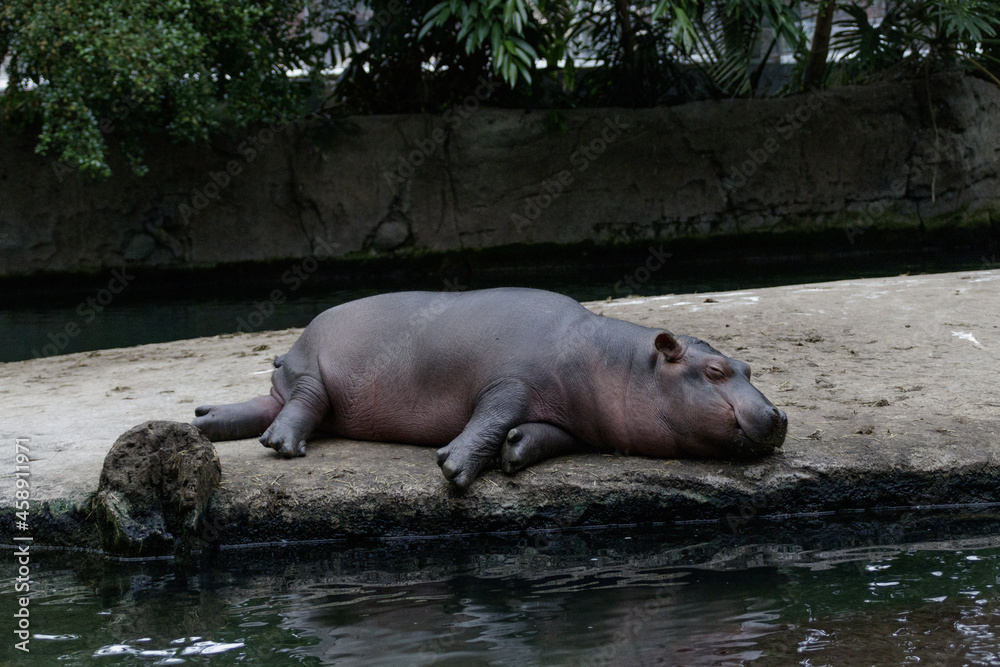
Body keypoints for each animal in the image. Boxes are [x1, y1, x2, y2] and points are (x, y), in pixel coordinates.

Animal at [192, 288, 786, 488]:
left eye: (748, 367)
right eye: (714, 371)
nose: (780, 416)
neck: (617, 362)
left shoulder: (578, 421)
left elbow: (546, 435)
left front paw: (516, 451)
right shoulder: (508, 382)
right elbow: (492, 414)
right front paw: (454, 467)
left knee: (267, 407)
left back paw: (203, 418)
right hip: (315, 369)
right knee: (301, 404)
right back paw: (283, 446)